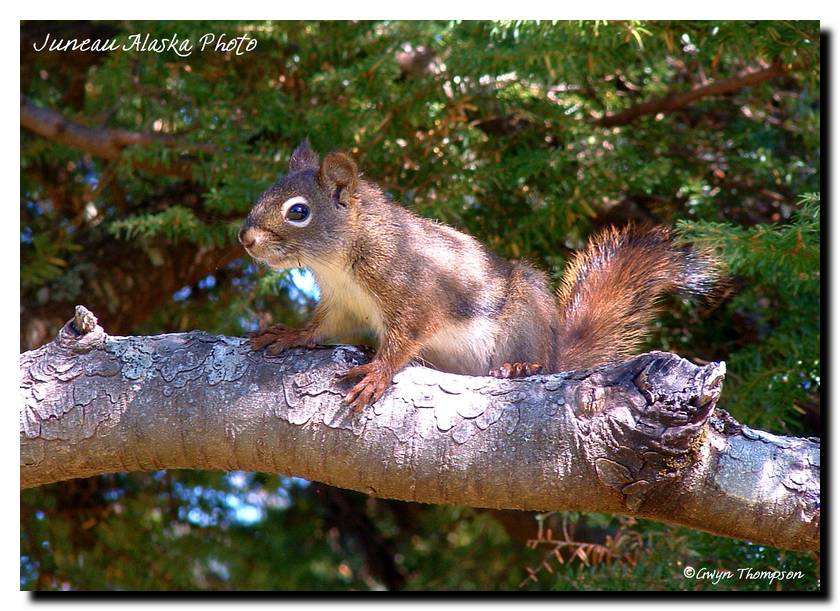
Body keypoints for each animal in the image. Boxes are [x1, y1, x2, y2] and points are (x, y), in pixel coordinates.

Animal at [239, 140, 720, 411]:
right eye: (264, 193)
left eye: (298, 212)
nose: (245, 239)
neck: (339, 263)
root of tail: (557, 353)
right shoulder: (342, 305)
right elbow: (321, 328)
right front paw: (290, 334)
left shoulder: (414, 289)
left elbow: (407, 335)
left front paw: (377, 372)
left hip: (525, 314)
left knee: (535, 359)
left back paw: (522, 366)